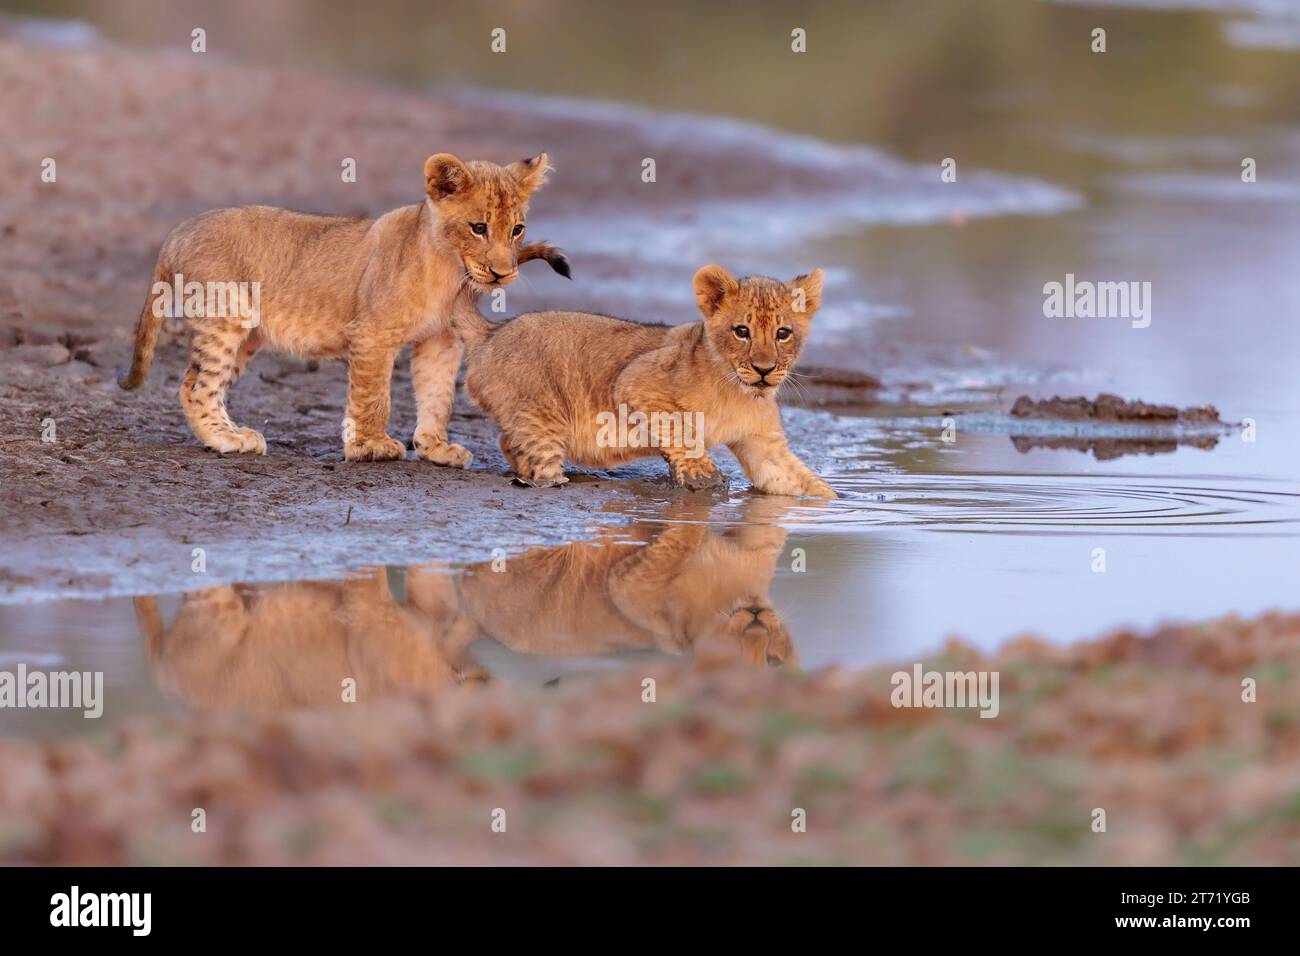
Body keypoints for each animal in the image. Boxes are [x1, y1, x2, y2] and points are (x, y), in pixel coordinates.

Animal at [118, 152, 567, 463]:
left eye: (517, 229)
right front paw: (371, 445)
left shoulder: (441, 341)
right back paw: (227, 439)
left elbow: (438, 395)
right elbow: (373, 395)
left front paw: (435, 448)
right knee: (197, 385)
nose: (502, 274)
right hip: (227, 315)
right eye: (478, 227)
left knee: (192, 383)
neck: (449, 270)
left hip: (246, 333)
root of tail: (178, 230)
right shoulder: (372, 333)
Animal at [461, 264, 836, 497]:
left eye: (783, 333)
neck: (738, 392)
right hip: (540, 414)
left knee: (508, 442)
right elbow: (680, 427)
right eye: (741, 331)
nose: (763, 369)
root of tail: (490, 333)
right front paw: (703, 476)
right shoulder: (636, 380)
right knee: (536, 456)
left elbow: (803, 483)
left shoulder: (763, 445)